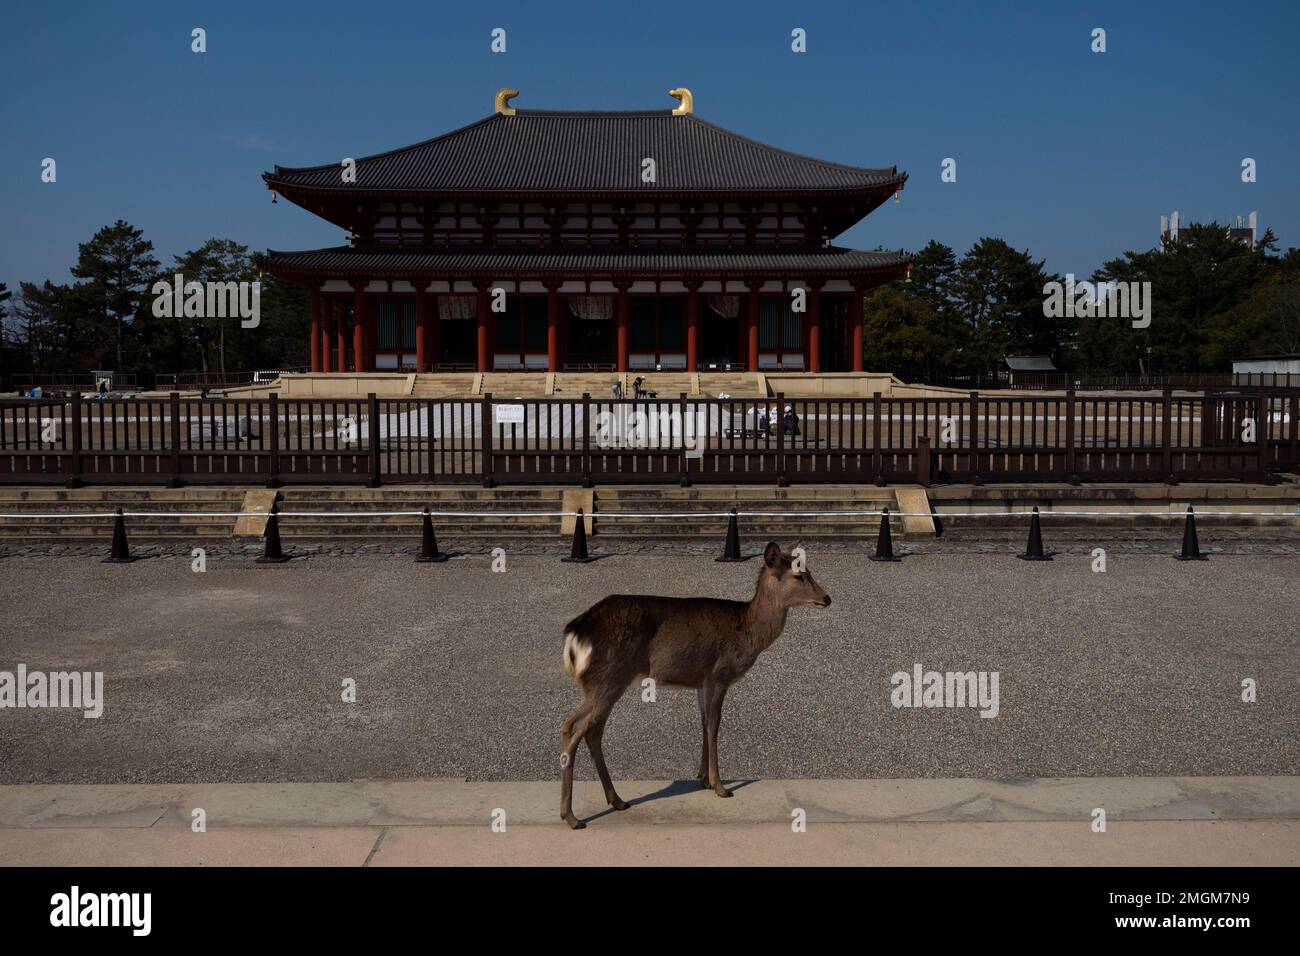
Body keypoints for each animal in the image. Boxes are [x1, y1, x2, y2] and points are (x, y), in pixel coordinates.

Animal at [558, 542, 832, 829]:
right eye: (799, 575)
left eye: (809, 571)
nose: (827, 598)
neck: (748, 632)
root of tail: (574, 633)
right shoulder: (718, 674)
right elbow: (714, 725)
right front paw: (720, 786)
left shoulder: (701, 682)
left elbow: (703, 722)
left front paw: (703, 778)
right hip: (608, 679)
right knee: (573, 728)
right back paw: (572, 816)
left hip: (601, 684)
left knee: (587, 730)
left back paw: (617, 800)